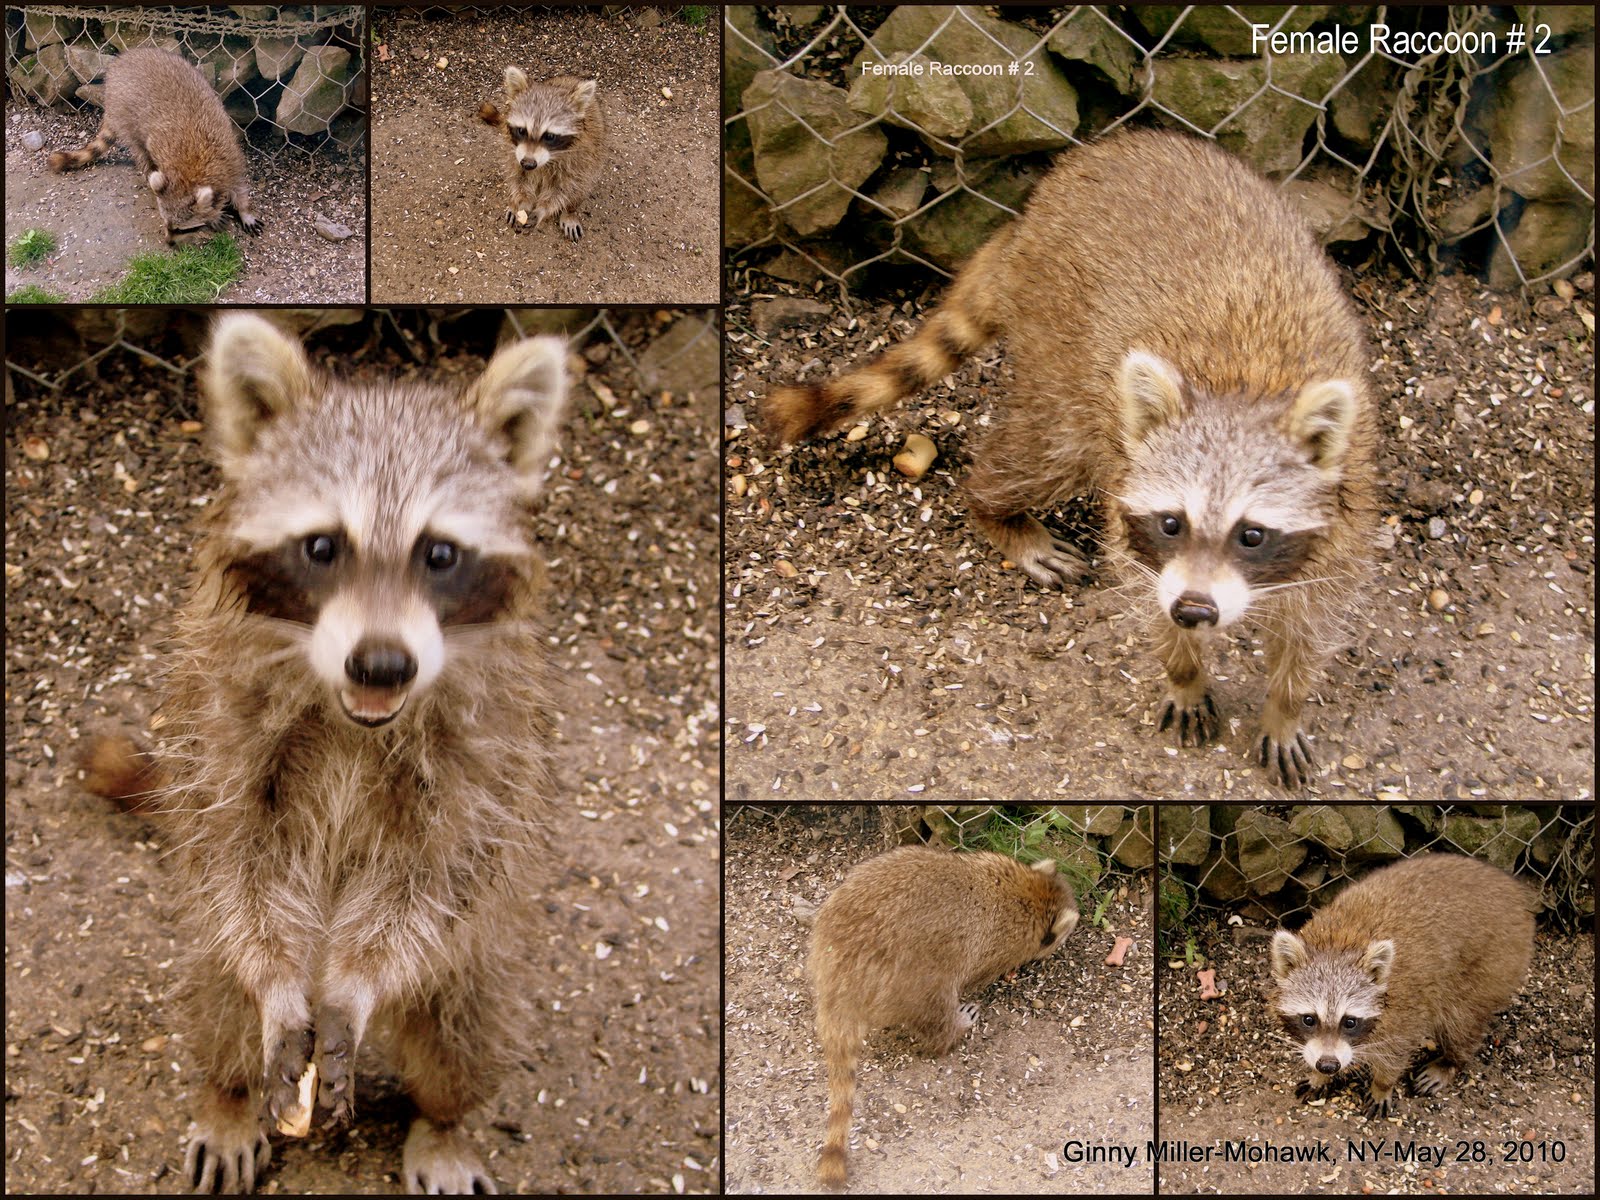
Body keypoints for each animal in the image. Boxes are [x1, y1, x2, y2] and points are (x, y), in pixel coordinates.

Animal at [48, 47, 260, 244]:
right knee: (140, 151)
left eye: (182, 229)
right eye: (167, 224)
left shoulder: (231, 156)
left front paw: (244, 210)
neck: (192, 173)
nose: (169, 243)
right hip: (125, 116)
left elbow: (239, 186)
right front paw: (219, 216)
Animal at [81, 312, 568, 1193]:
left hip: (468, 961)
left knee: (460, 1028)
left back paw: (444, 1119)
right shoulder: (220, 726)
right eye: (321, 546)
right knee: (221, 991)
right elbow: (240, 866)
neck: (356, 718)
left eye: (439, 553)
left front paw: (357, 984)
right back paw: (229, 1091)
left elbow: (432, 876)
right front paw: (277, 993)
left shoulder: (485, 751)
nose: (382, 664)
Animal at [478, 67, 606, 240]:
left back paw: (570, 211)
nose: (528, 163)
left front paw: (543, 209)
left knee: (582, 186)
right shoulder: (513, 151)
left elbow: (564, 189)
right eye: (521, 130)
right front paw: (522, 202)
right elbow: (518, 178)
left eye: (549, 136)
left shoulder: (578, 158)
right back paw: (513, 203)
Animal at [763, 130, 1379, 789]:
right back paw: (994, 508)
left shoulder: (1348, 514)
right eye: (1171, 523)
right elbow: (1145, 587)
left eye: (1253, 534)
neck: (1245, 389)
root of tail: (1049, 193)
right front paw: (1184, 670)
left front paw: (1286, 705)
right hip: (1060, 342)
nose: (1193, 610)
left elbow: (1311, 625)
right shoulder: (1134, 501)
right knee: (1044, 451)